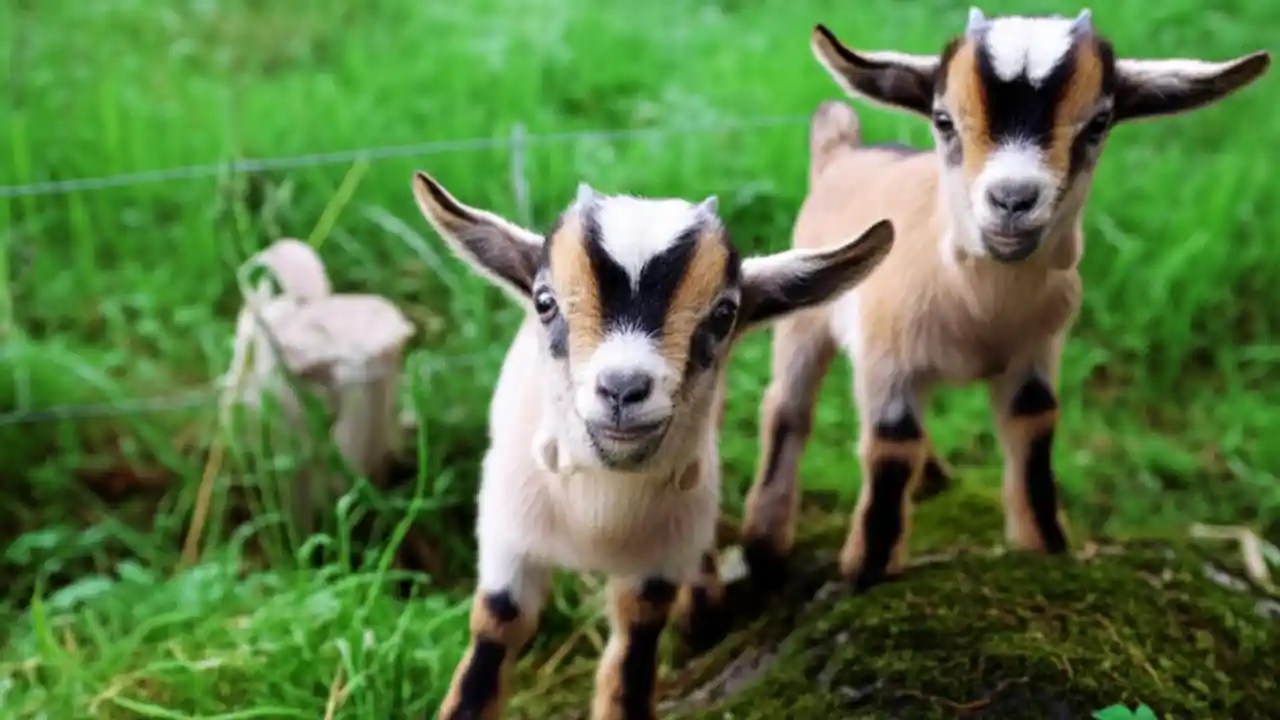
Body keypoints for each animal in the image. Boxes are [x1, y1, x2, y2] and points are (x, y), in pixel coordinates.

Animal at [410, 171, 893, 719]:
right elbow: (495, 633)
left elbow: (632, 659)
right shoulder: (508, 539)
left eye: (724, 314)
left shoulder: (656, 565)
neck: (600, 514)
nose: (622, 388)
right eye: (544, 302)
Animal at [739, 7, 1270, 592]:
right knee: (789, 406)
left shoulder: (1036, 352)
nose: (1012, 200)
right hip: (805, 320)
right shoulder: (888, 357)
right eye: (943, 120)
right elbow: (891, 443)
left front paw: (1046, 545)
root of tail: (842, 152)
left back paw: (933, 481)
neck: (979, 308)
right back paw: (763, 544)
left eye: (1098, 123)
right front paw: (867, 571)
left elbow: (1034, 429)